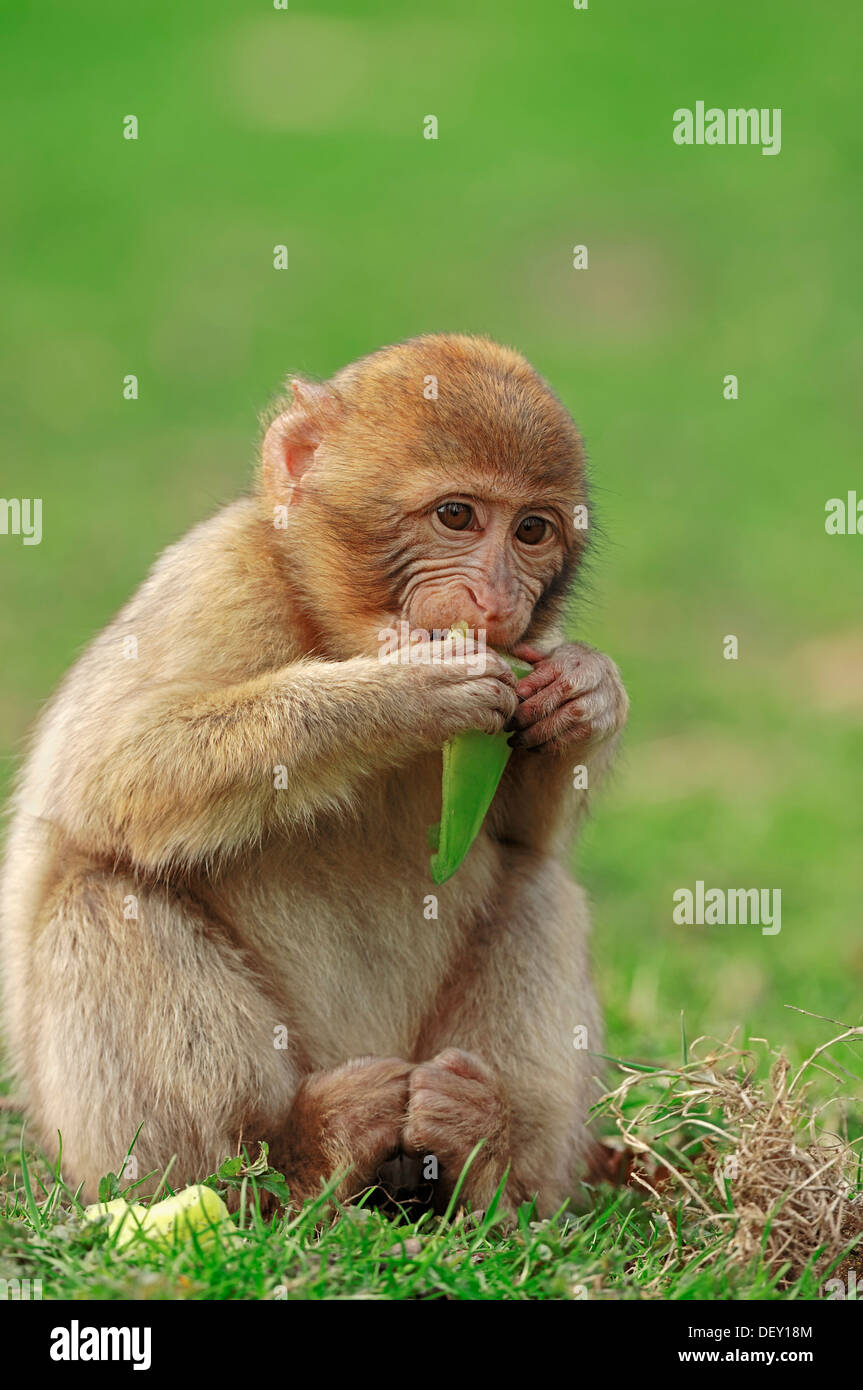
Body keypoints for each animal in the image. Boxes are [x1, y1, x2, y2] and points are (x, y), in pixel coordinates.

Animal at [0, 333, 628, 1217]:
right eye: (457, 516)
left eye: (532, 531)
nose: (497, 601)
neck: (331, 625)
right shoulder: (218, 579)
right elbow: (111, 774)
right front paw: (394, 694)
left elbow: (521, 835)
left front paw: (586, 692)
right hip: (111, 1158)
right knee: (98, 892)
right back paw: (295, 1154)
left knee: (535, 887)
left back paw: (480, 1157)